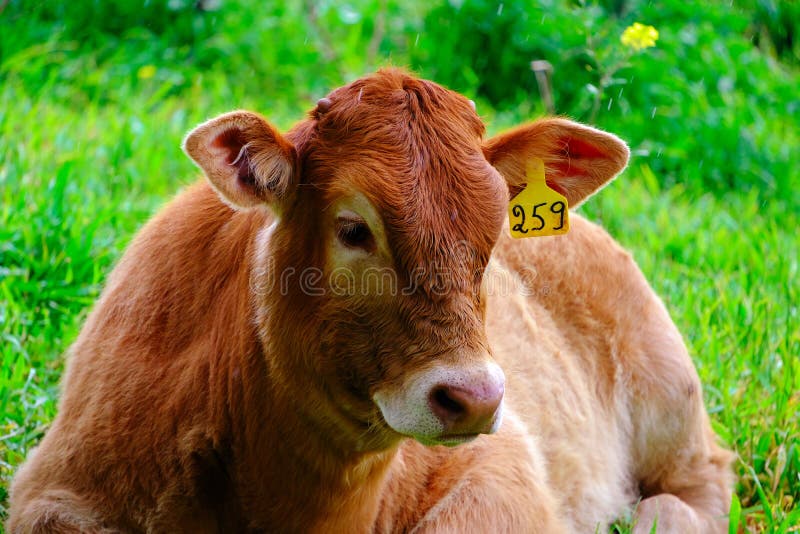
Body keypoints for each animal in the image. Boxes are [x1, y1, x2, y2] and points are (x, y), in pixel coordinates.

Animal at [7, 68, 733, 533]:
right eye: (354, 229)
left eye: (496, 232)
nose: (475, 398)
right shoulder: (55, 491)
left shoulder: (501, 469)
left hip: (671, 395)